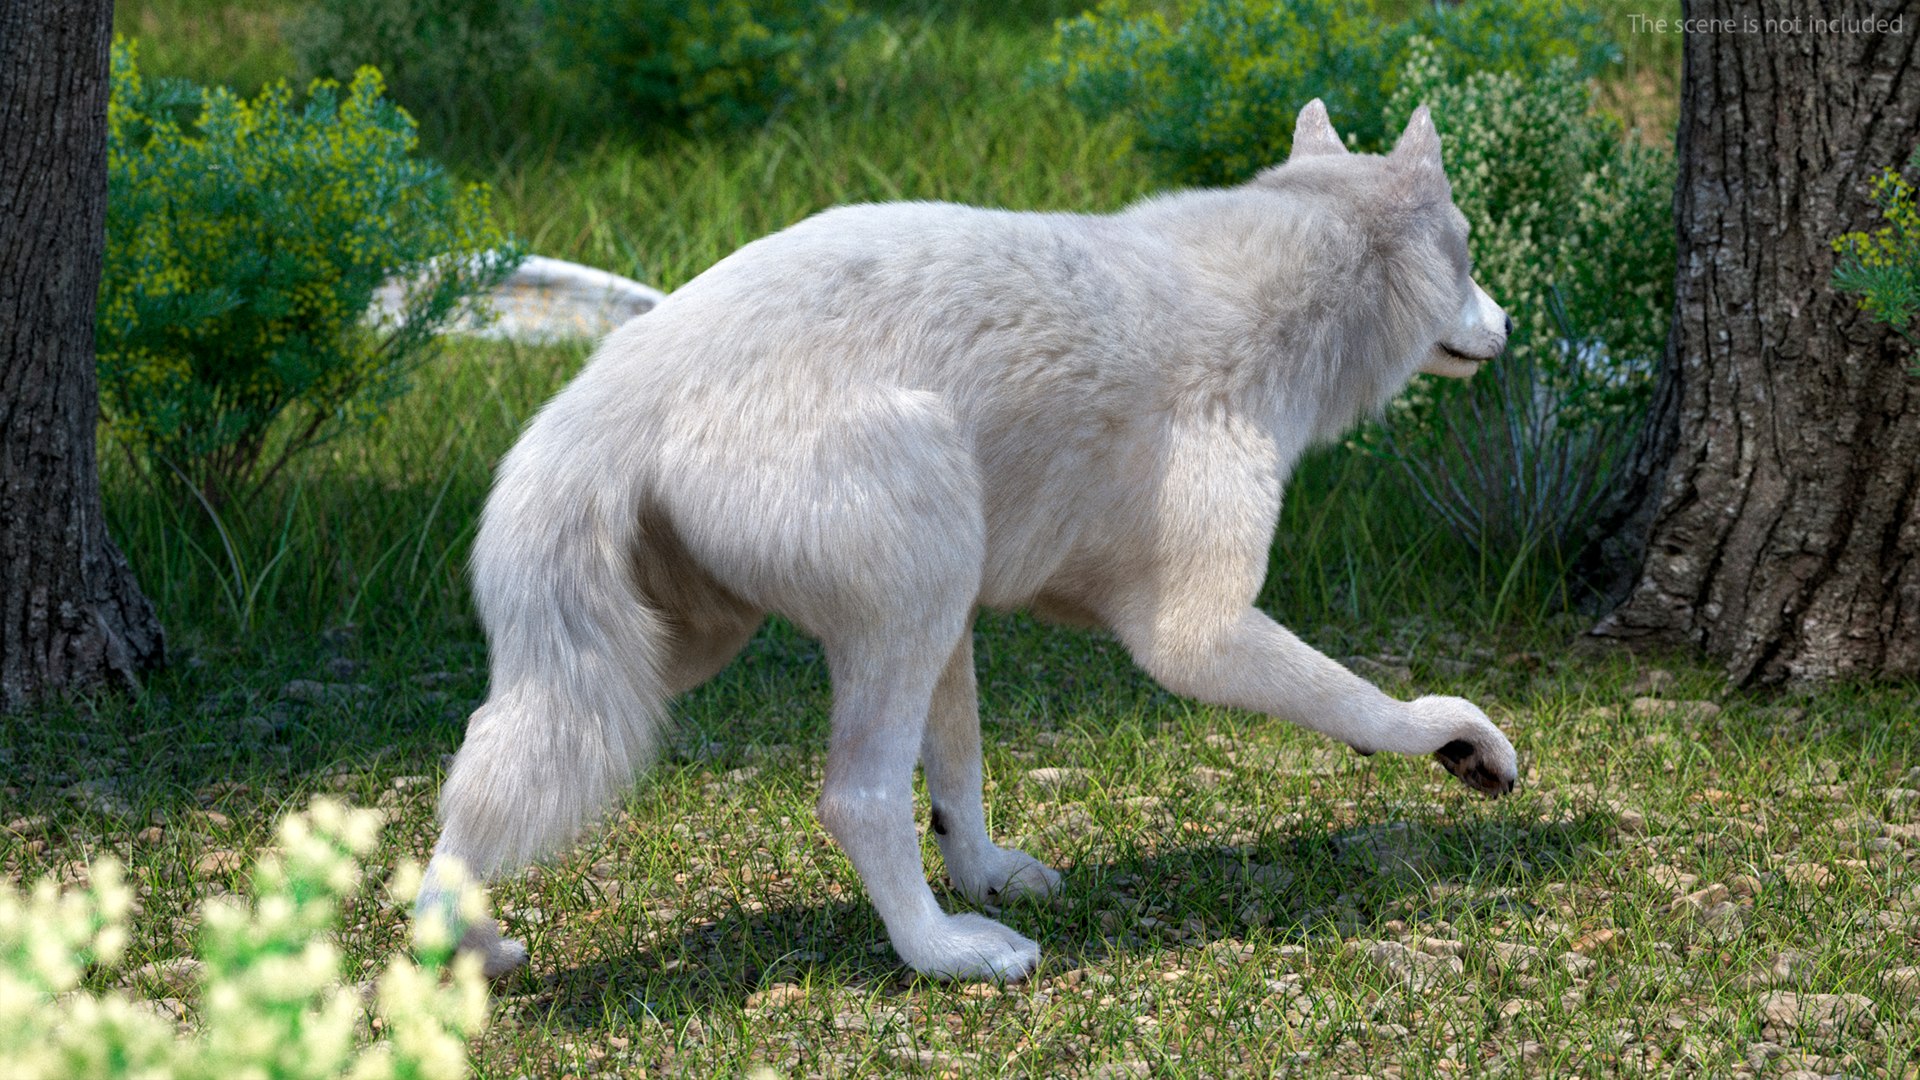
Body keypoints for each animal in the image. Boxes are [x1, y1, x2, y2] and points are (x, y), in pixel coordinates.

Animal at [416, 100, 1519, 983]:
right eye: (1469, 259)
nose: (1508, 327)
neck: (1278, 296)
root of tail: (622, 380)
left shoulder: (970, 625)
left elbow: (957, 773)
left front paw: (982, 869)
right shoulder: (1193, 634)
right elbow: (1367, 704)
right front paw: (1455, 741)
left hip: (670, 657)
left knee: (478, 766)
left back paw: (456, 946)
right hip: (903, 576)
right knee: (855, 799)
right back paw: (946, 954)